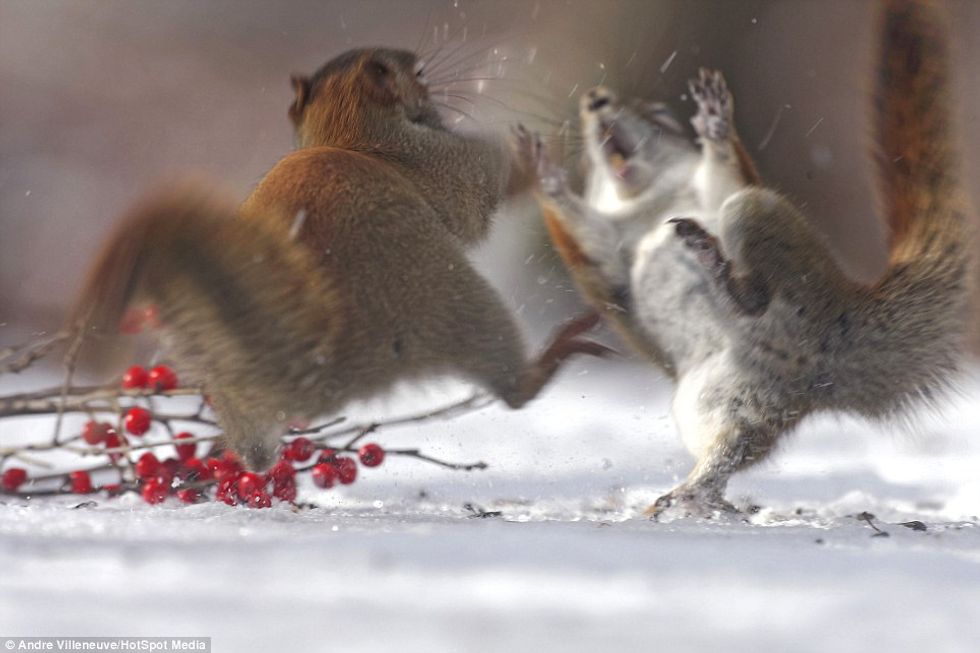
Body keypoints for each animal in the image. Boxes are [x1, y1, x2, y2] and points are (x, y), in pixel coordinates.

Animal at [70, 47, 611, 471]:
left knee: (255, 455)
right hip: (457, 304)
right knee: (515, 388)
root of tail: (316, 363)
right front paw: (542, 154)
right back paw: (561, 347)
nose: (434, 73)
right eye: (418, 72)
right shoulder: (456, 164)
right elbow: (492, 191)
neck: (349, 131)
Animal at [521, 0, 971, 516]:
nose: (595, 100)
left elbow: (726, 172)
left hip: (755, 217)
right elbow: (589, 241)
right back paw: (692, 493)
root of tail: (830, 346)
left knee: (754, 304)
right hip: (716, 398)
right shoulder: (607, 252)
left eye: (659, 115)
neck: (647, 199)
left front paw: (716, 126)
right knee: (733, 444)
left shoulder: (725, 189)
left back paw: (726, 280)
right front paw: (545, 176)